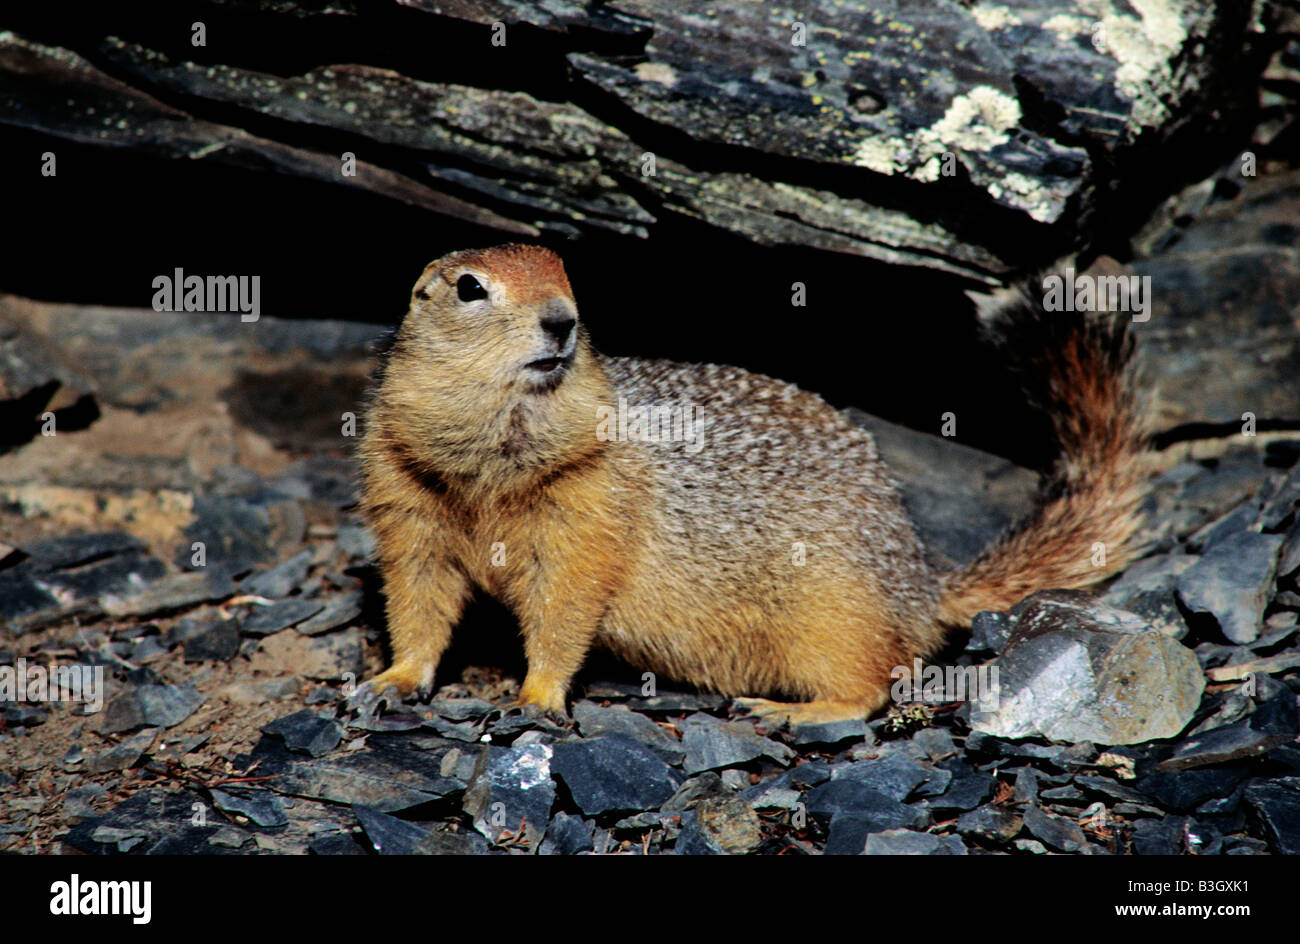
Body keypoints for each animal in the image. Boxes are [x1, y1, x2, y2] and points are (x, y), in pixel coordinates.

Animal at [352, 244, 1150, 725]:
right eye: (470, 288)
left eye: (567, 276)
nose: (562, 321)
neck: (498, 450)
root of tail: (921, 586)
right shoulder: (406, 496)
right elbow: (418, 598)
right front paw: (392, 680)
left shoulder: (585, 512)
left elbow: (564, 609)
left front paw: (537, 695)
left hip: (832, 613)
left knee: (875, 680)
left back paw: (795, 710)